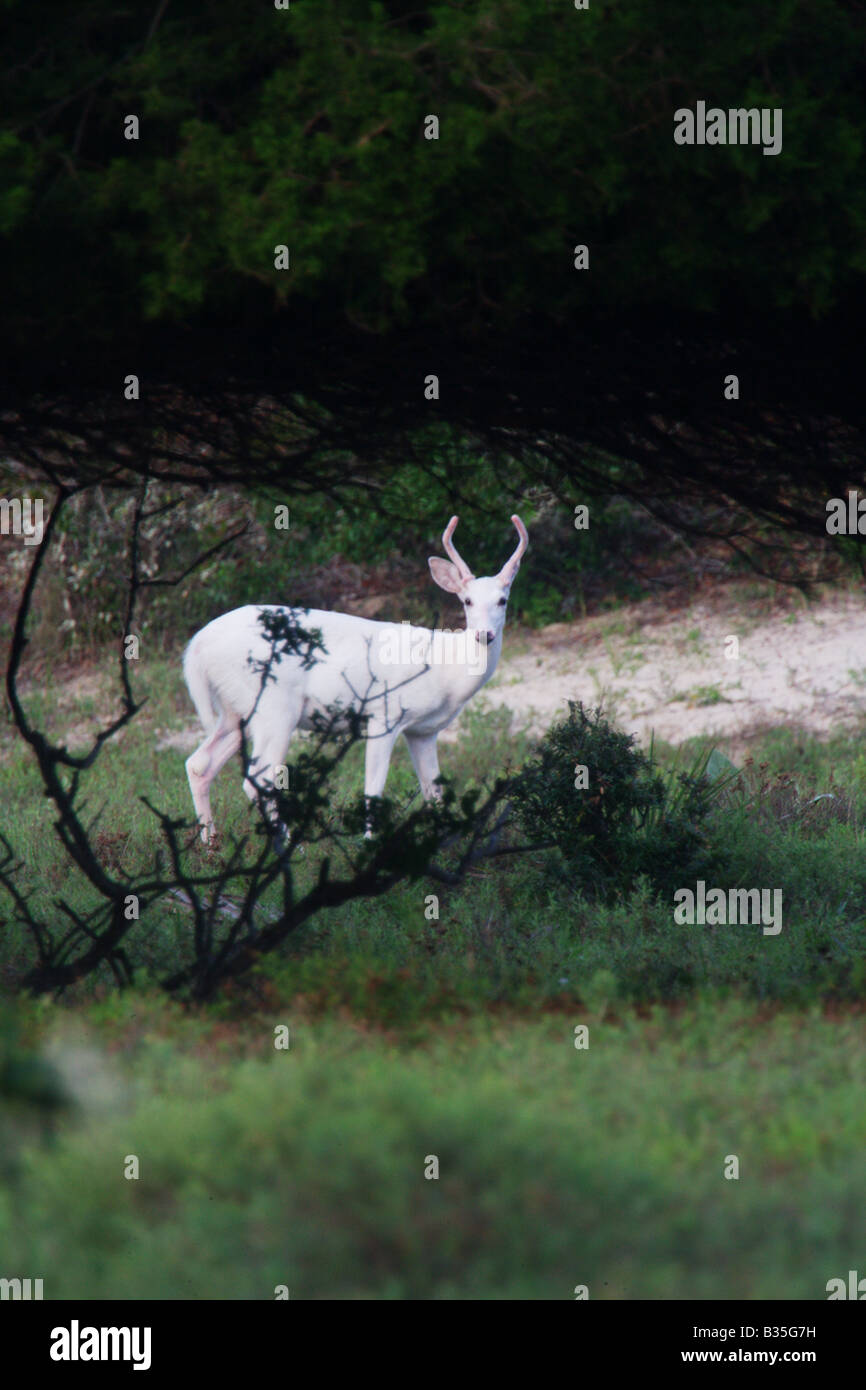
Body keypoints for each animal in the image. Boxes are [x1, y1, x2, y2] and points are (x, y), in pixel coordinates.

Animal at [182, 514, 528, 844]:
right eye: (467, 601)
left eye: (503, 600)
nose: (484, 635)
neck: (446, 670)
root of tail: (197, 646)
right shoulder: (384, 715)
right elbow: (373, 789)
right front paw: (369, 842)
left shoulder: (423, 731)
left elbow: (434, 793)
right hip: (274, 705)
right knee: (258, 779)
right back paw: (288, 844)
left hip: (235, 709)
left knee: (199, 764)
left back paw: (210, 842)